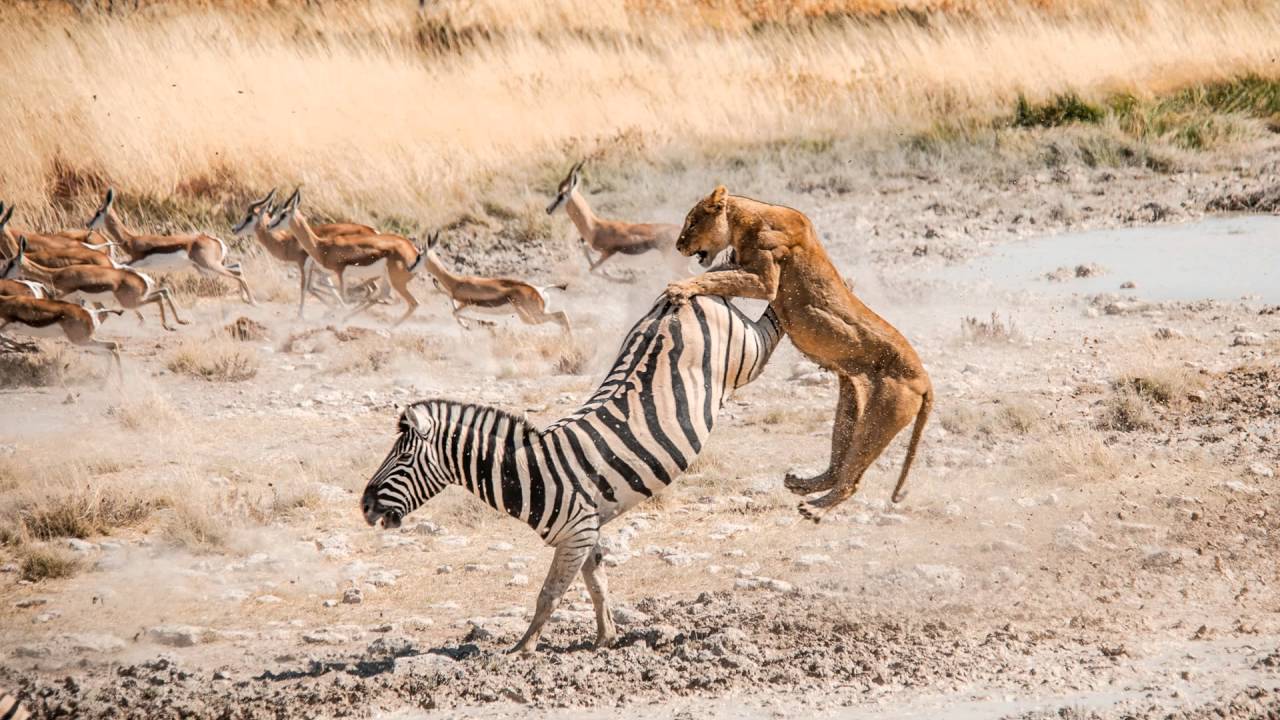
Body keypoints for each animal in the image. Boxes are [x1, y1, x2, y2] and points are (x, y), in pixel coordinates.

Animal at [362, 292, 782, 653]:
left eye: (401, 458)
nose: (364, 506)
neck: (530, 469)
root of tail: (683, 296)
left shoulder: (576, 532)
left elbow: (549, 594)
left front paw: (523, 648)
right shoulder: (587, 531)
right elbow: (598, 586)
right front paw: (605, 639)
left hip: (745, 353)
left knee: (772, 318)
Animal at [663, 185, 933, 521]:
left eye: (692, 222)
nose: (678, 245)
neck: (745, 220)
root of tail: (925, 379)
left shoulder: (765, 280)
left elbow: (716, 278)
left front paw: (680, 288)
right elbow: (721, 273)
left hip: (881, 416)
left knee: (851, 480)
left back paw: (815, 508)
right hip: (851, 405)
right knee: (839, 463)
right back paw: (803, 484)